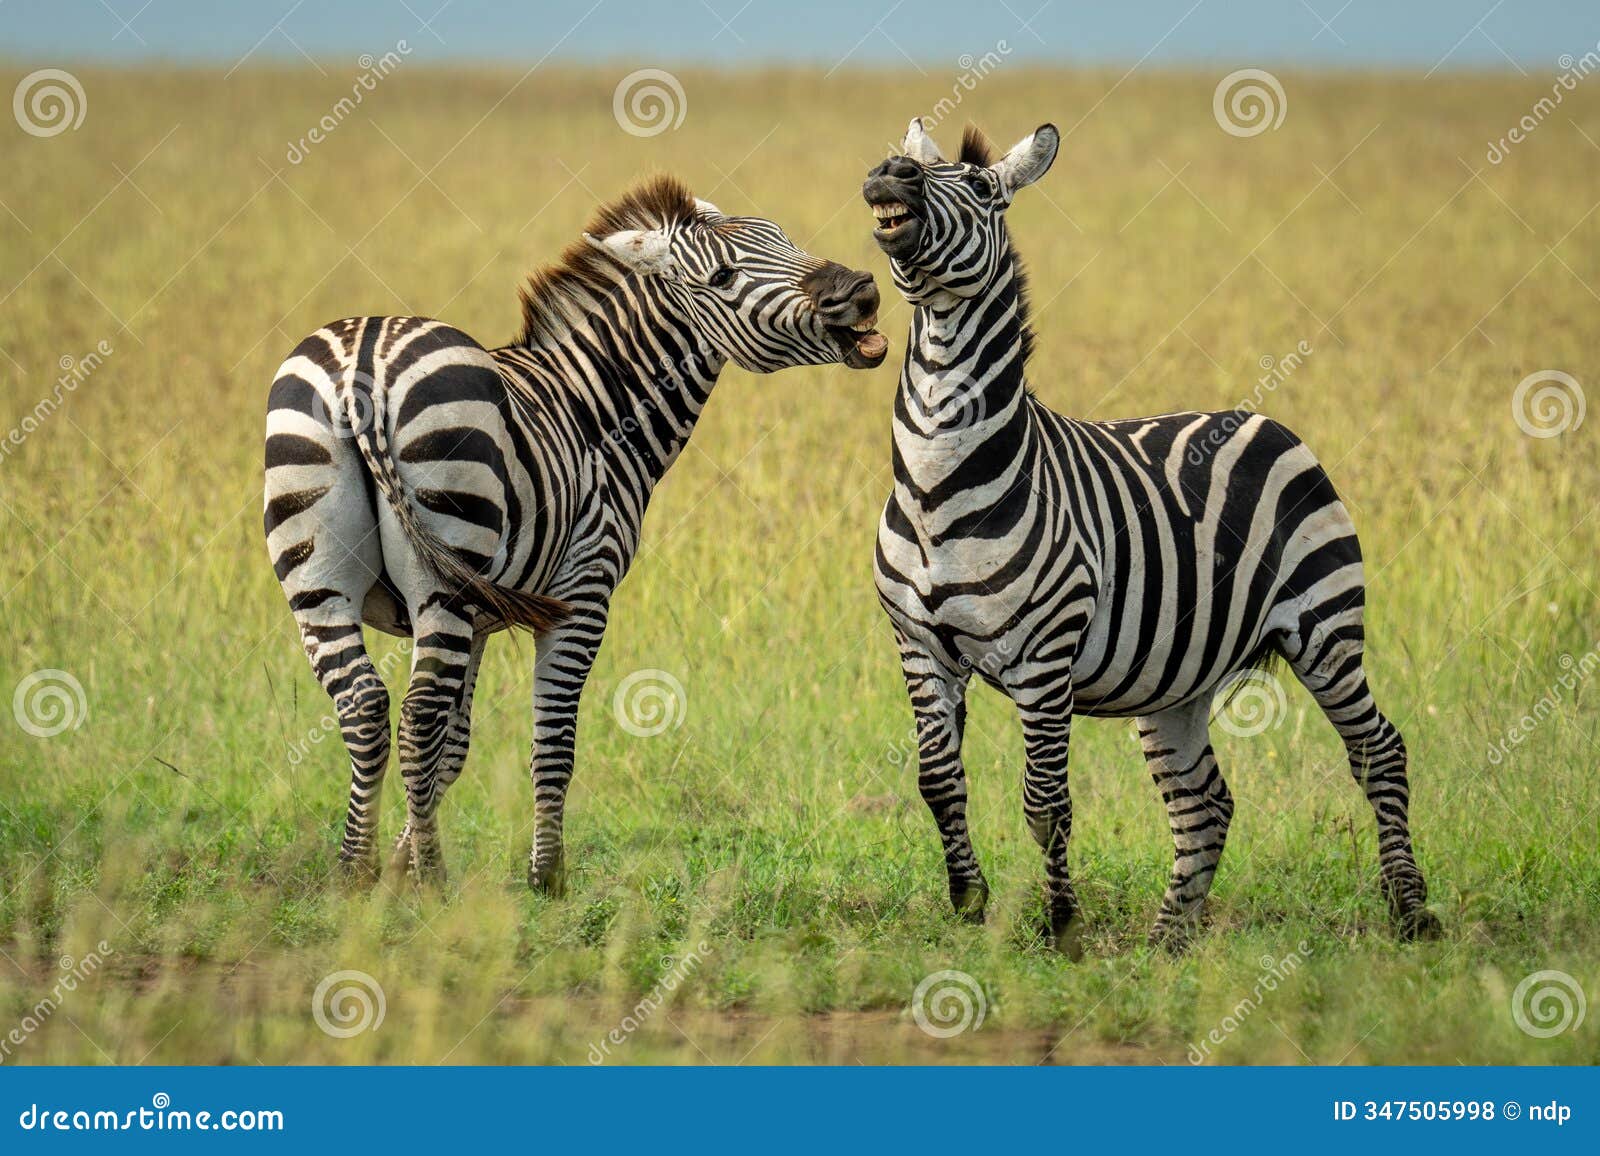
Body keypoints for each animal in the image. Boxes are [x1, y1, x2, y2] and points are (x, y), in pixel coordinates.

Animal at [264, 175, 886, 887]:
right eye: (724, 277)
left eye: (783, 238)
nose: (862, 289)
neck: (598, 410)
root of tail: (363, 356)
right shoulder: (584, 589)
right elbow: (551, 741)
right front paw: (544, 879)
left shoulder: (481, 618)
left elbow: (457, 747)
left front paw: (395, 873)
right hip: (444, 573)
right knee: (416, 718)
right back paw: (436, 883)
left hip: (323, 576)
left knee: (366, 707)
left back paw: (352, 874)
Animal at [862, 118, 1439, 951]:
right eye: (916, 164)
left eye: (978, 188)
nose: (891, 172)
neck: (939, 479)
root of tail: (1261, 418)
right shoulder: (917, 645)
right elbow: (939, 782)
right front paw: (970, 904)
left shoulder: (1045, 657)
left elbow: (1045, 803)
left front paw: (1061, 925)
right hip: (1178, 677)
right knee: (1205, 801)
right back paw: (1170, 936)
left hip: (1326, 627)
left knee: (1377, 750)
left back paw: (1411, 909)